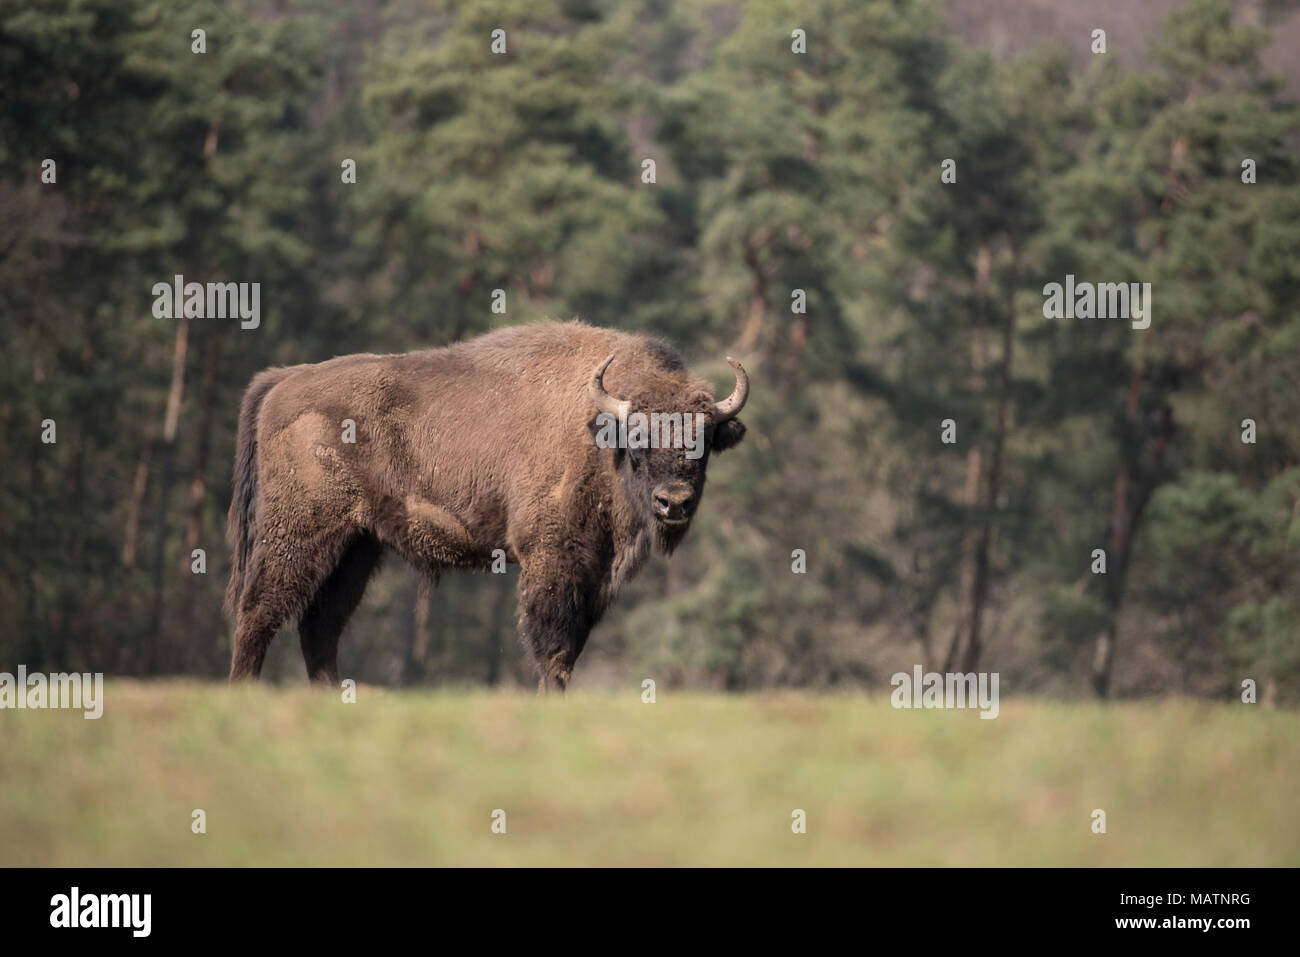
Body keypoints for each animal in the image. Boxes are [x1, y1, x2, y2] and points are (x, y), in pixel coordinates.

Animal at [225, 320, 748, 690]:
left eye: (703, 440)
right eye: (639, 440)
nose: (673, 502)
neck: (600, 435)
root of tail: (285, 380)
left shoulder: (593, 575)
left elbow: (570, 647)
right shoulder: (552, 562)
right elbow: (553, 647)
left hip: (357, 546)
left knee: (320, 626)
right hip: (300, 534)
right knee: (259, 612)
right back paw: (245, 692)